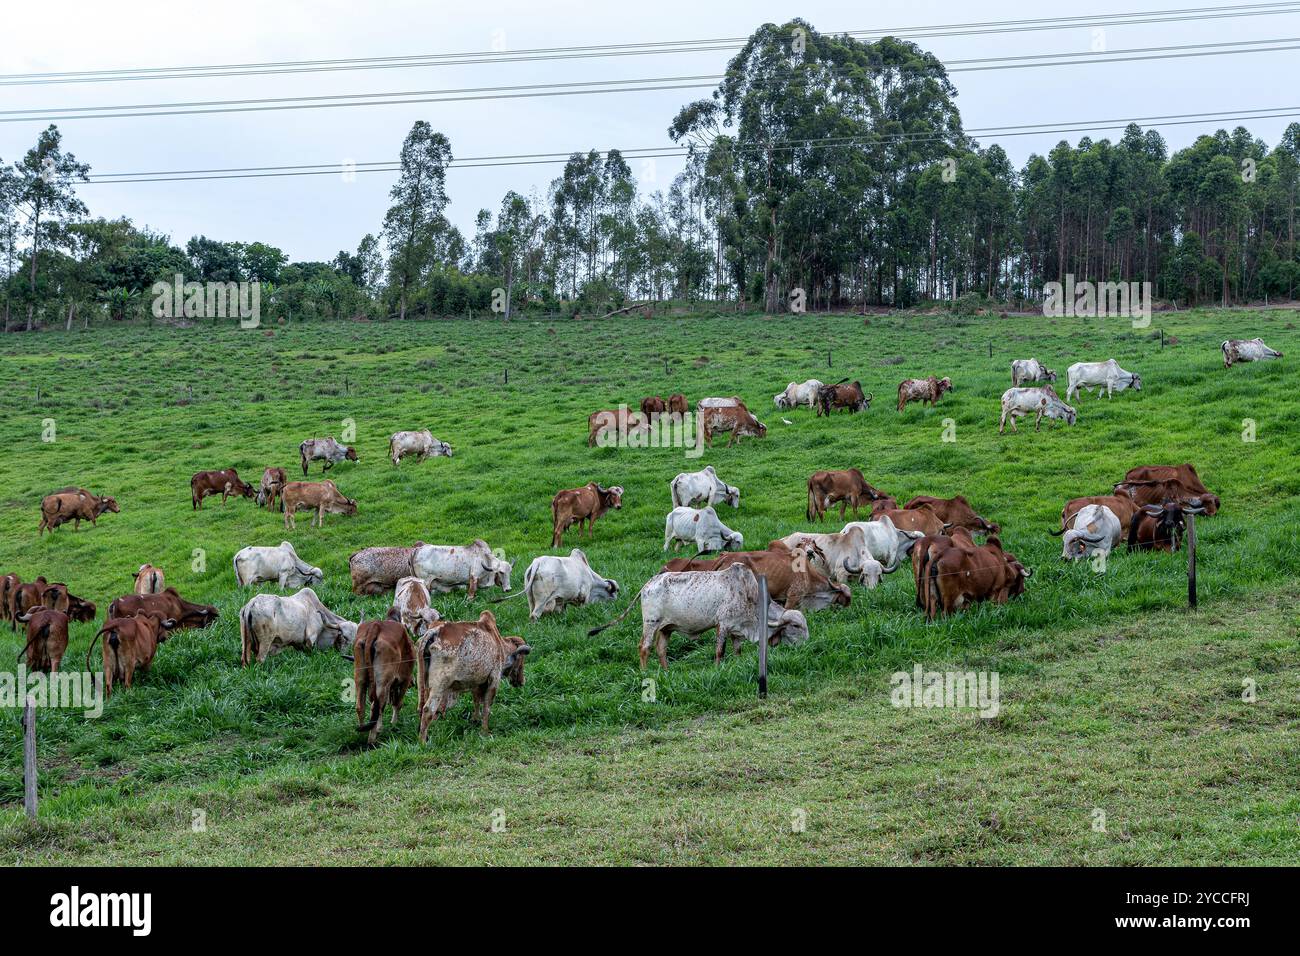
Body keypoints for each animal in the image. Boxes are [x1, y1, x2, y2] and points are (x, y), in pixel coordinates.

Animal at [353, 612, 416, 744]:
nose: (413, 682)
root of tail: (377, 625)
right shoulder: (405, 678)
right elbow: (397, 703)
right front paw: (393, 724)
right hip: (382, 682)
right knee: (376, 706)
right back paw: (372, 738)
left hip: (360, 677)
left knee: (361, 706)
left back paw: (363, 733)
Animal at [416, 610, 530, 738]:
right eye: (521, 659)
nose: (521, 681)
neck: (498, 643)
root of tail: (436, 630)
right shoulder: (494, 680)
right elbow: (487, 707)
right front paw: (484, 731)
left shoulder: (477, 682)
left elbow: (476, 700)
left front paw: (475, 720)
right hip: (439, 686)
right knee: (428, 710)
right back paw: (422, 741)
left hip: (424, 682)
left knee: (423, 708)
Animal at [588, 564, 808, 670]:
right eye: (796, 626)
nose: (807, 642)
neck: (749, 594)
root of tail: (648, 584)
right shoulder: (723, 625)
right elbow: (720, 651)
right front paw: (718, 669)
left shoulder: (736, 628)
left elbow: (737, 650)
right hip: (651, 623)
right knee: (644, 647)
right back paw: (645, 672)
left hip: (666, 628)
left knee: (661, 649)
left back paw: (667, 672)